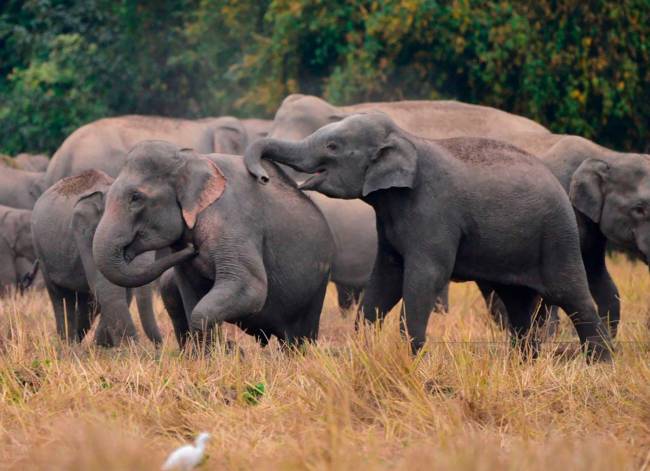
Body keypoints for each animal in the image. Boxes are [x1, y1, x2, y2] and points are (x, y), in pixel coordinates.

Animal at [31, 170, 162, 346]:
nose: (160, 346)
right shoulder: (85, 232)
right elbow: (105, 285)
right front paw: (130, 348)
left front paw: (104, 344)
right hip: (42, 251)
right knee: (60, 295)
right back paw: (68, 343)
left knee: (86, 300)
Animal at [92, 141, 334, 348]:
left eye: (136, 197)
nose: (193, 249)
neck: (190, 158)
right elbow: (191, 294)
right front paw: (208, 356)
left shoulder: (233, 219)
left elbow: (250, 287)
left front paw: (228, 350)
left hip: (315, 290)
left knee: (298, 338)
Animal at [244, 112, 612, 361]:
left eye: (332, 146)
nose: (263, 176)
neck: (406, 138)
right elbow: (386, 277)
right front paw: (365, 348)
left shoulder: (433, 211)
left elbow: (424, 277)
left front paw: (409, 357)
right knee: (518, 303)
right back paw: (524, 363)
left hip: (557, 235)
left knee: (571, 294)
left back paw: (598, 365)